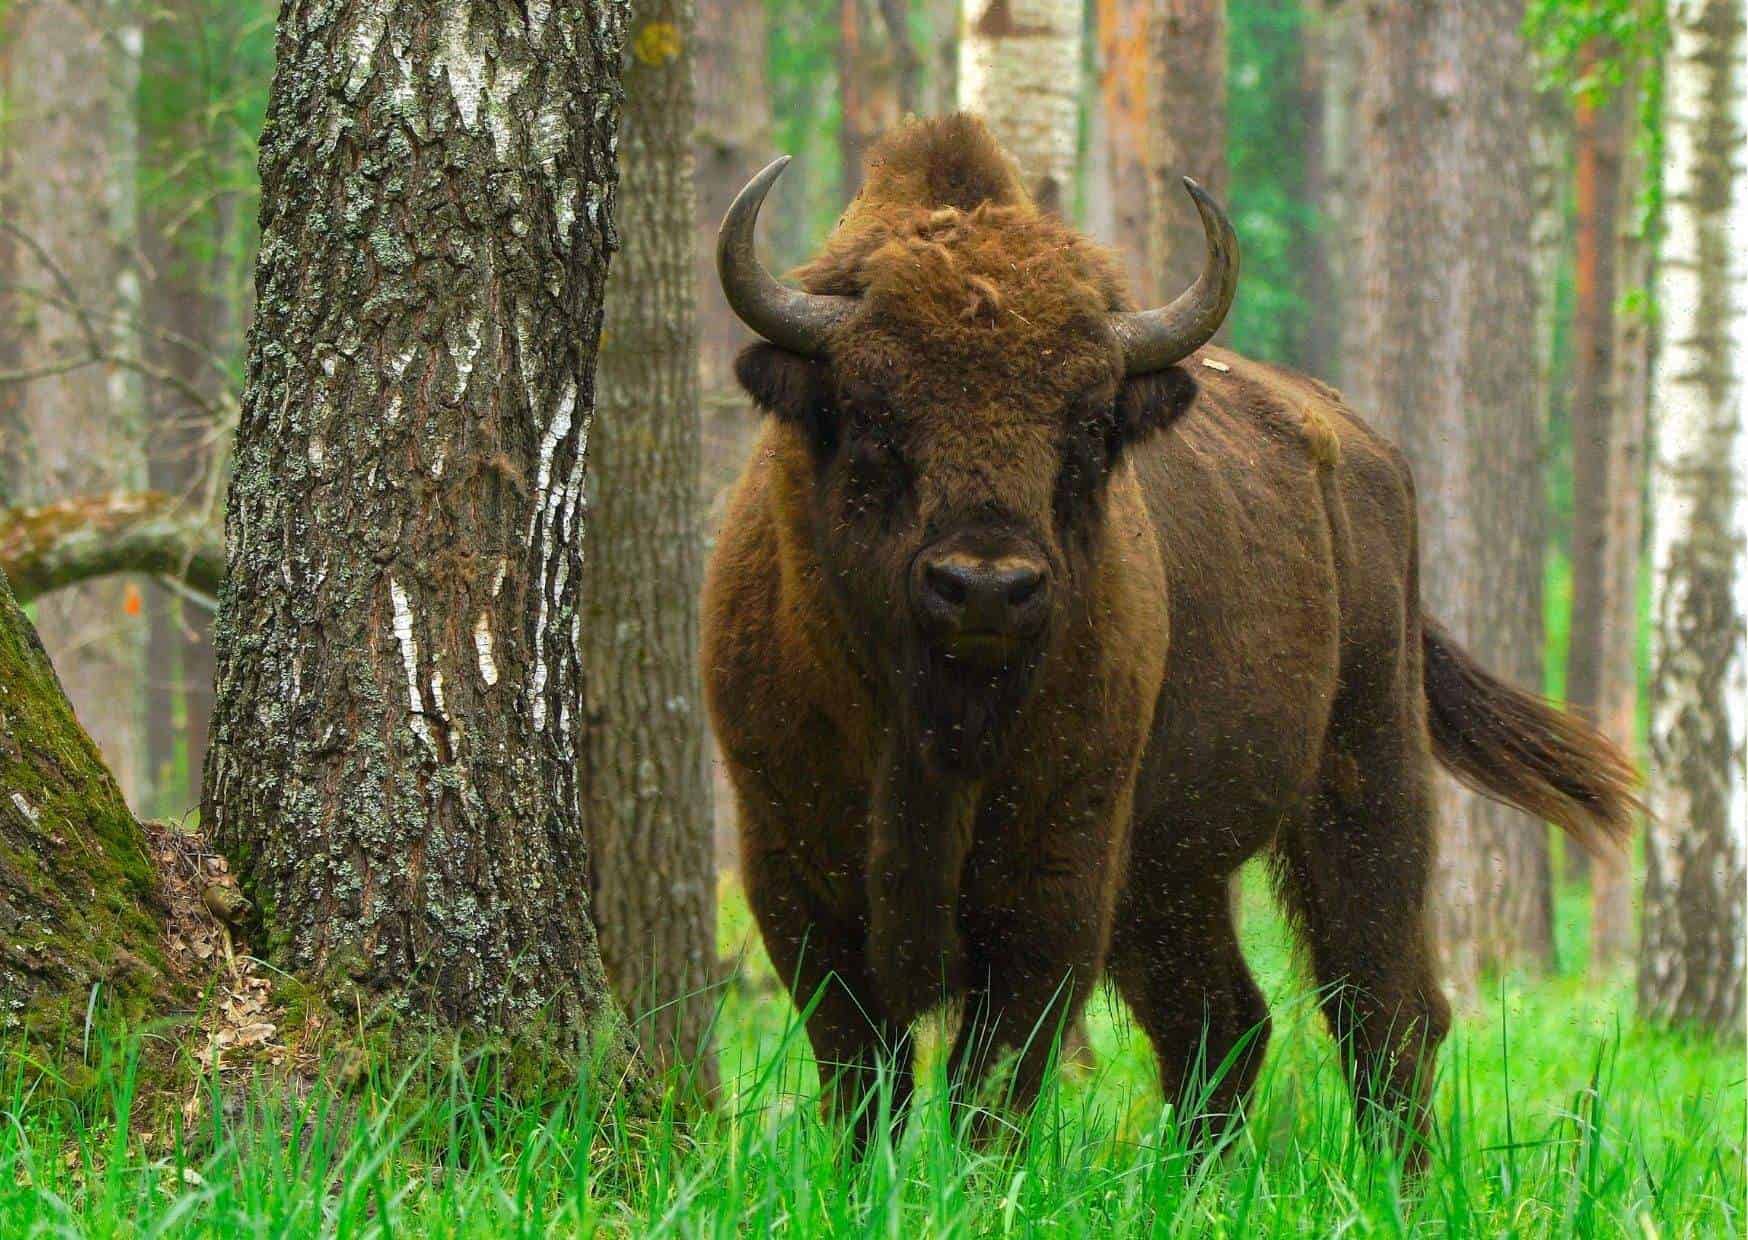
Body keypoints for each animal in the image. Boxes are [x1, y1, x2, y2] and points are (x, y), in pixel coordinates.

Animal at [701, 115, 1635, 1157]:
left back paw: (1401, 1174)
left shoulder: (1060, 870)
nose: (986, 588)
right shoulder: (791, 864)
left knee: (1383, 1006)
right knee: (1224, 1021)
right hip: (1172, 874)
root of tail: (1366, 449)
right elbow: (863, 1069)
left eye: (1088, 422)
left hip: (1365, 778)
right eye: (870, 412)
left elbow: (996, 1075)